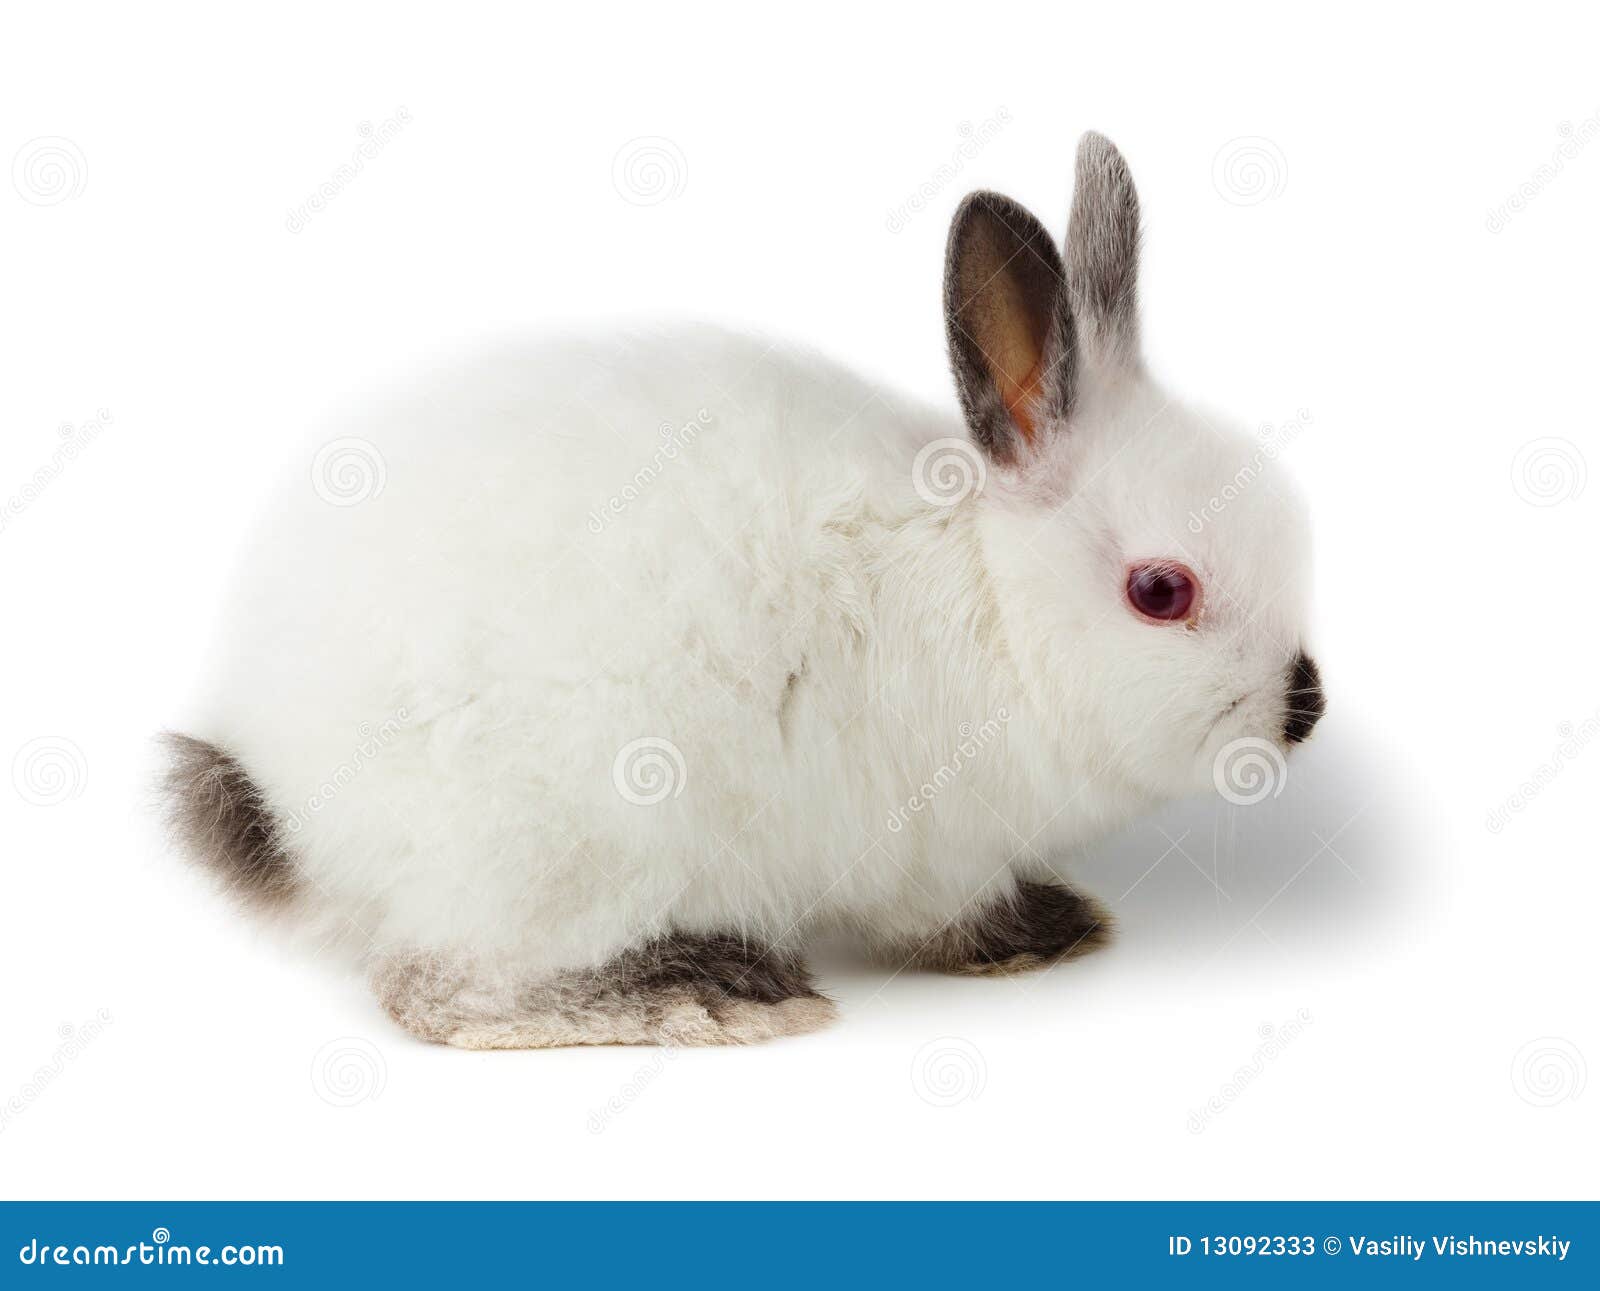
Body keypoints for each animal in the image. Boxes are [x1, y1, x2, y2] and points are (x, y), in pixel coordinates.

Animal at [162, 132, 1323, 1049]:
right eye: (1160, 591)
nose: (1301, 709)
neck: (997, 598)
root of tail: (293, 805)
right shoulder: (935, 847)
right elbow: (943, 915)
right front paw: (1039, 935)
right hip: (574, 852)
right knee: (441, 991)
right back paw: (711, 992)